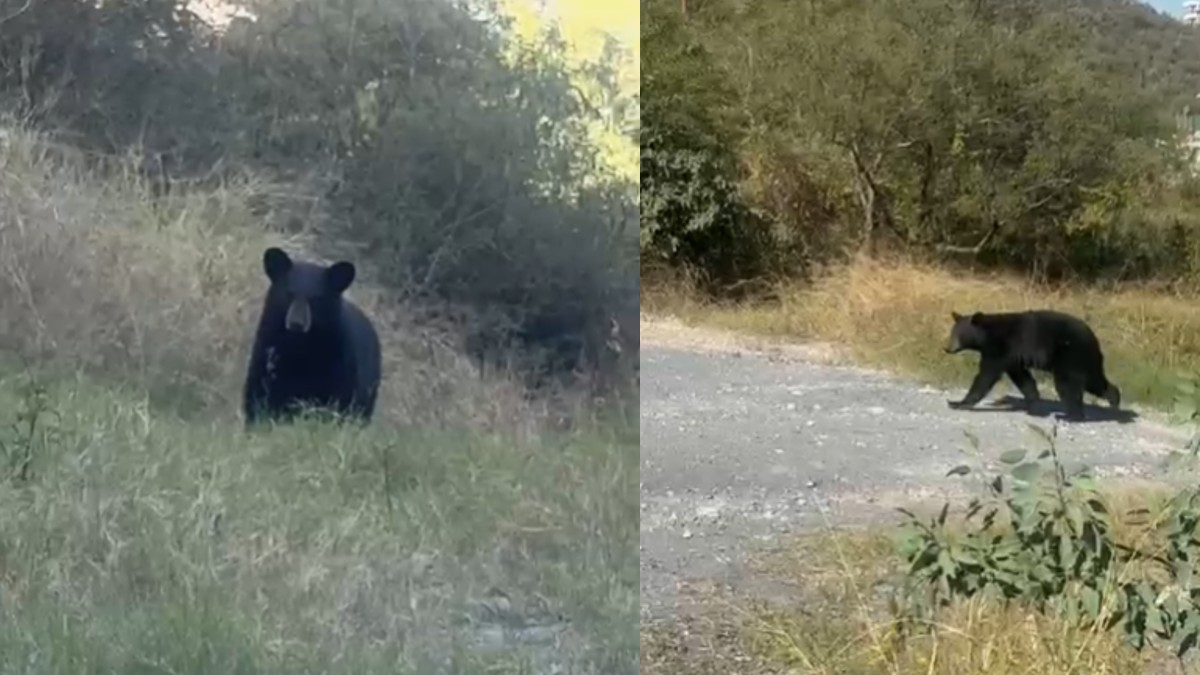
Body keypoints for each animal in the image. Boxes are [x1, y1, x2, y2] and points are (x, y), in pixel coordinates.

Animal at [242, 247, 382, 427]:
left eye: (316, 298)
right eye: (289, 293)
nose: (296, 323)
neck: (301, 347)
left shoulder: (340, 362)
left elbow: (339, 399)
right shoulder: (267, 351)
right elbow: (259, 394)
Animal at [943, 309, 1120, 422]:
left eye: (959, 334)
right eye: (952, 332)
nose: (948, 348)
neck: (987, 337)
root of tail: (1094, 338)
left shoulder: (1001, 349)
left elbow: (986, 376)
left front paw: (958, 403)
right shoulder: (1012, 357)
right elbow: (1022, 377)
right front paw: (1034, 402)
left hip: (1070, 354)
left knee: (1068, 384)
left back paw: (1070, 416)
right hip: (1086, 360)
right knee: (1096, 381)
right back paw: (1114, 402)